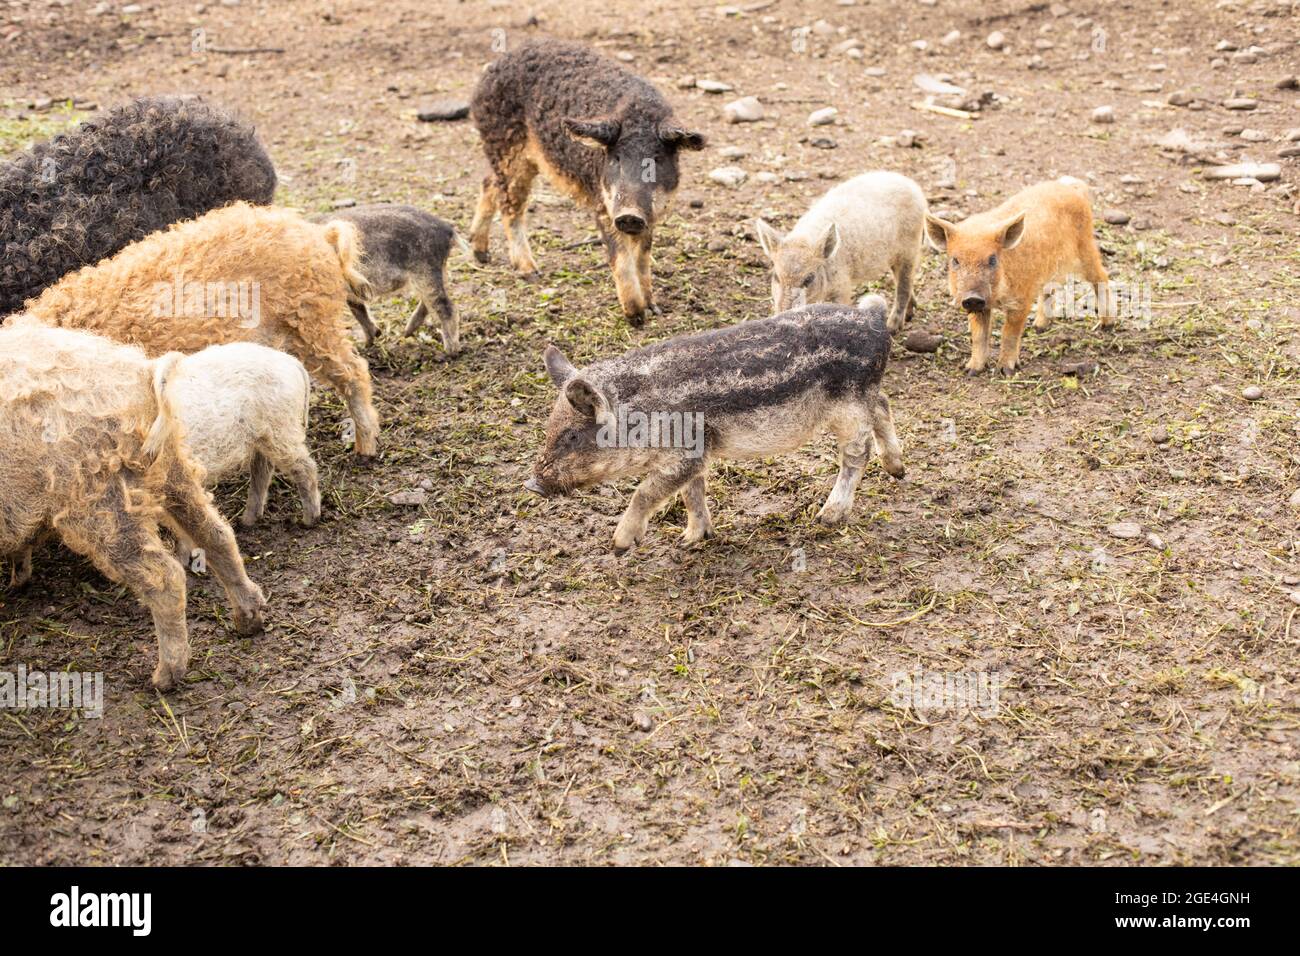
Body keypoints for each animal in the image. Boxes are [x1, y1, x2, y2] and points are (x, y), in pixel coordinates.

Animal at [311, 204, 470, 354]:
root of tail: (447, 230)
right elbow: (359, 309)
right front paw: (368, 343)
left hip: (426, 272)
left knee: (446, 307)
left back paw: (450, 352)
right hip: (437, 272)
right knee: (430, 304)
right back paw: (405, 334)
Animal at [468, 38, 706, 326]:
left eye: (657, 159)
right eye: (615, 158)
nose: (630, 214)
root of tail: (495, 66)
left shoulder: (648, 216)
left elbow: (643, 257)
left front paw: (654, 308)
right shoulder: (604, 207)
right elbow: (620, 256)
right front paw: (636, 316)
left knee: (489, 183)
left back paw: (481, 254)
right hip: (506, 148)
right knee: (510, 204)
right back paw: (530, 272)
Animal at [526, 296, 905, 554]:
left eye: (573, 435)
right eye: (549, 429)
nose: (532, 484)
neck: (644, 414)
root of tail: (872, 317)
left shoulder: (684, 455)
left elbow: (645, 492)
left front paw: (619, 546)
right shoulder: (695, 454)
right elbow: (692, 493)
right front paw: (690, 540)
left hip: (849, 408)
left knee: (857, 453)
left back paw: (827, 517)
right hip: (865, 398)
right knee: (884, 406)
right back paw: (898, 471)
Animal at [752, 171, 927, 331]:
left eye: (809, 278)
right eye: (776, 277)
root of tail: (912, 185)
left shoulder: (842, 285)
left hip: (910, 248)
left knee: (903, 285)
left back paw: (892, 328)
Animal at [924, 176, 1110, 375]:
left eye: (992, 259)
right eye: (955, 260)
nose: (972, 297)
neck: (997, 298)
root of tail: (1071, 188)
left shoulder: (1022, 300)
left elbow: (1009, 334)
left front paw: (1005, 371)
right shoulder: (979, 306)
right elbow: (979, 336)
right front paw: (971, 371)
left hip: (1086, 247)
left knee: (1102, 277)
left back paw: (1106, 325)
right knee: (1049, 290)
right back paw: (1038, 327)